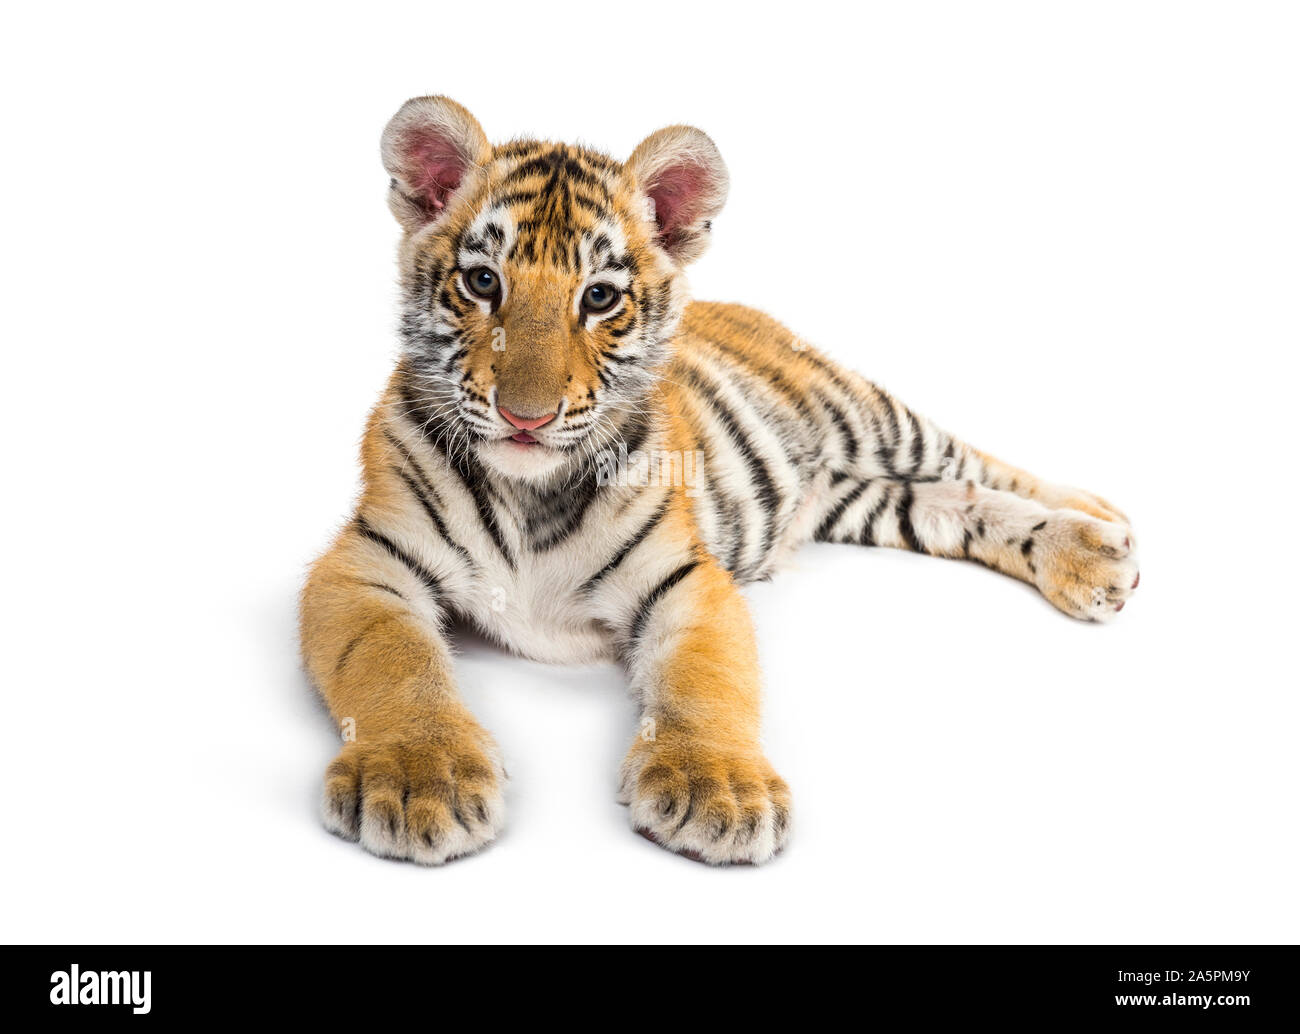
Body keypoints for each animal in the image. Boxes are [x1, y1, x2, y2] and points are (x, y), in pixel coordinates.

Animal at [300, 96, 1140, 867]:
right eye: (481, 283)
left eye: (599, 297)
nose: (526, 417)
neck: (530, 489)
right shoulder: (365, 562)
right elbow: (392, 663)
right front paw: (420, 774)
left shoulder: (683, 577)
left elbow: (706, 682)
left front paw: (718, 790)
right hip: (864, 500)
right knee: (951, 505)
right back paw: (1088, 554)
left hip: (872, 417)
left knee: (979, 466)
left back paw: (1100, 528)